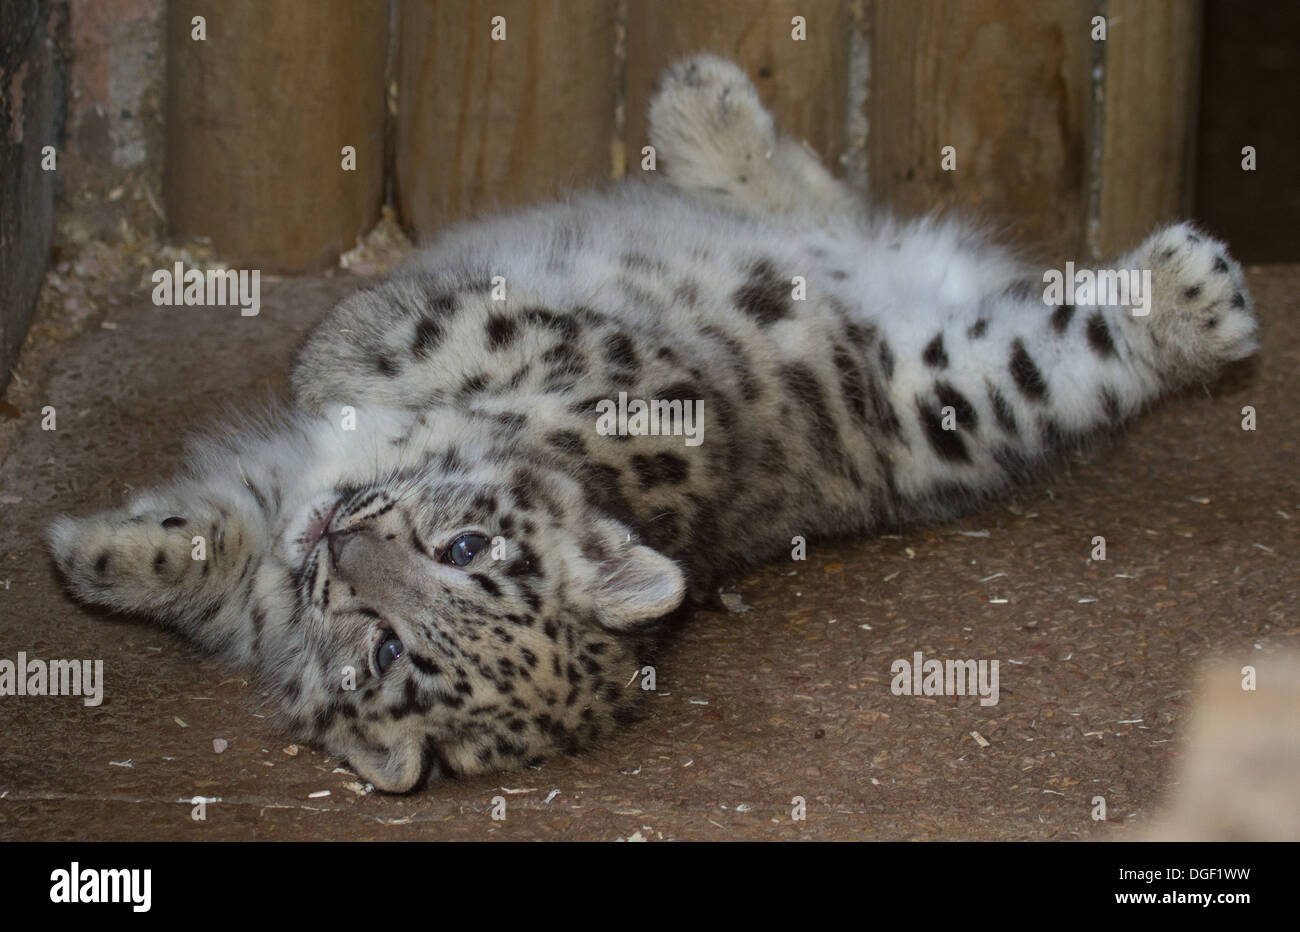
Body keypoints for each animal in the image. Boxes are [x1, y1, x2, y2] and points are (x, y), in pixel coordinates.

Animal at [48, 55, 1258, 792]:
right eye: (383, 643)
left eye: (466, 552)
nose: (341, 543)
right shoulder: (274, 529)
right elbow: (208, 546)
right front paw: (93, 553)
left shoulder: (630, 373)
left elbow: (451, 330)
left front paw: (335, 347)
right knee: (820, 205)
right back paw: (708, 112)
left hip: (946, 402)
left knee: (1043, 357)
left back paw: (1194, 295)